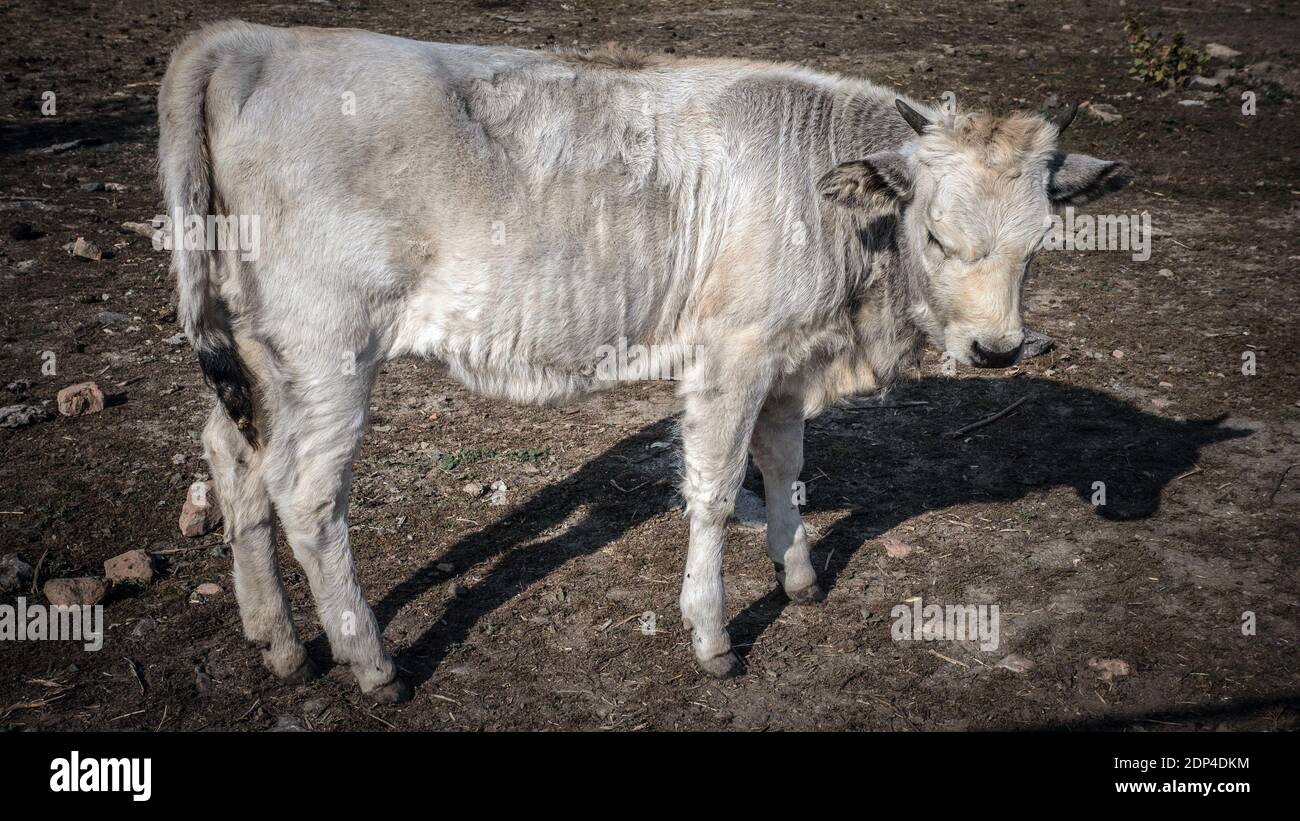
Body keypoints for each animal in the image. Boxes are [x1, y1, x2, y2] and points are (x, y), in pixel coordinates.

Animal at [159, 21, 1134, 702]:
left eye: (1040, 241)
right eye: (936, 233)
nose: (997, 349)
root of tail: (250, 41)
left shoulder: (788, 357)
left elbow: (785, 463)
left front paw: (799, 572)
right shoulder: (733, 350)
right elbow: (714, 488)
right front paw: (712, 635)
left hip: (263, 354)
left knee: (232, 458)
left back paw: (280, 640)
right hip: (327, 349)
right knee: (307, 494)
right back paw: (372, 663)